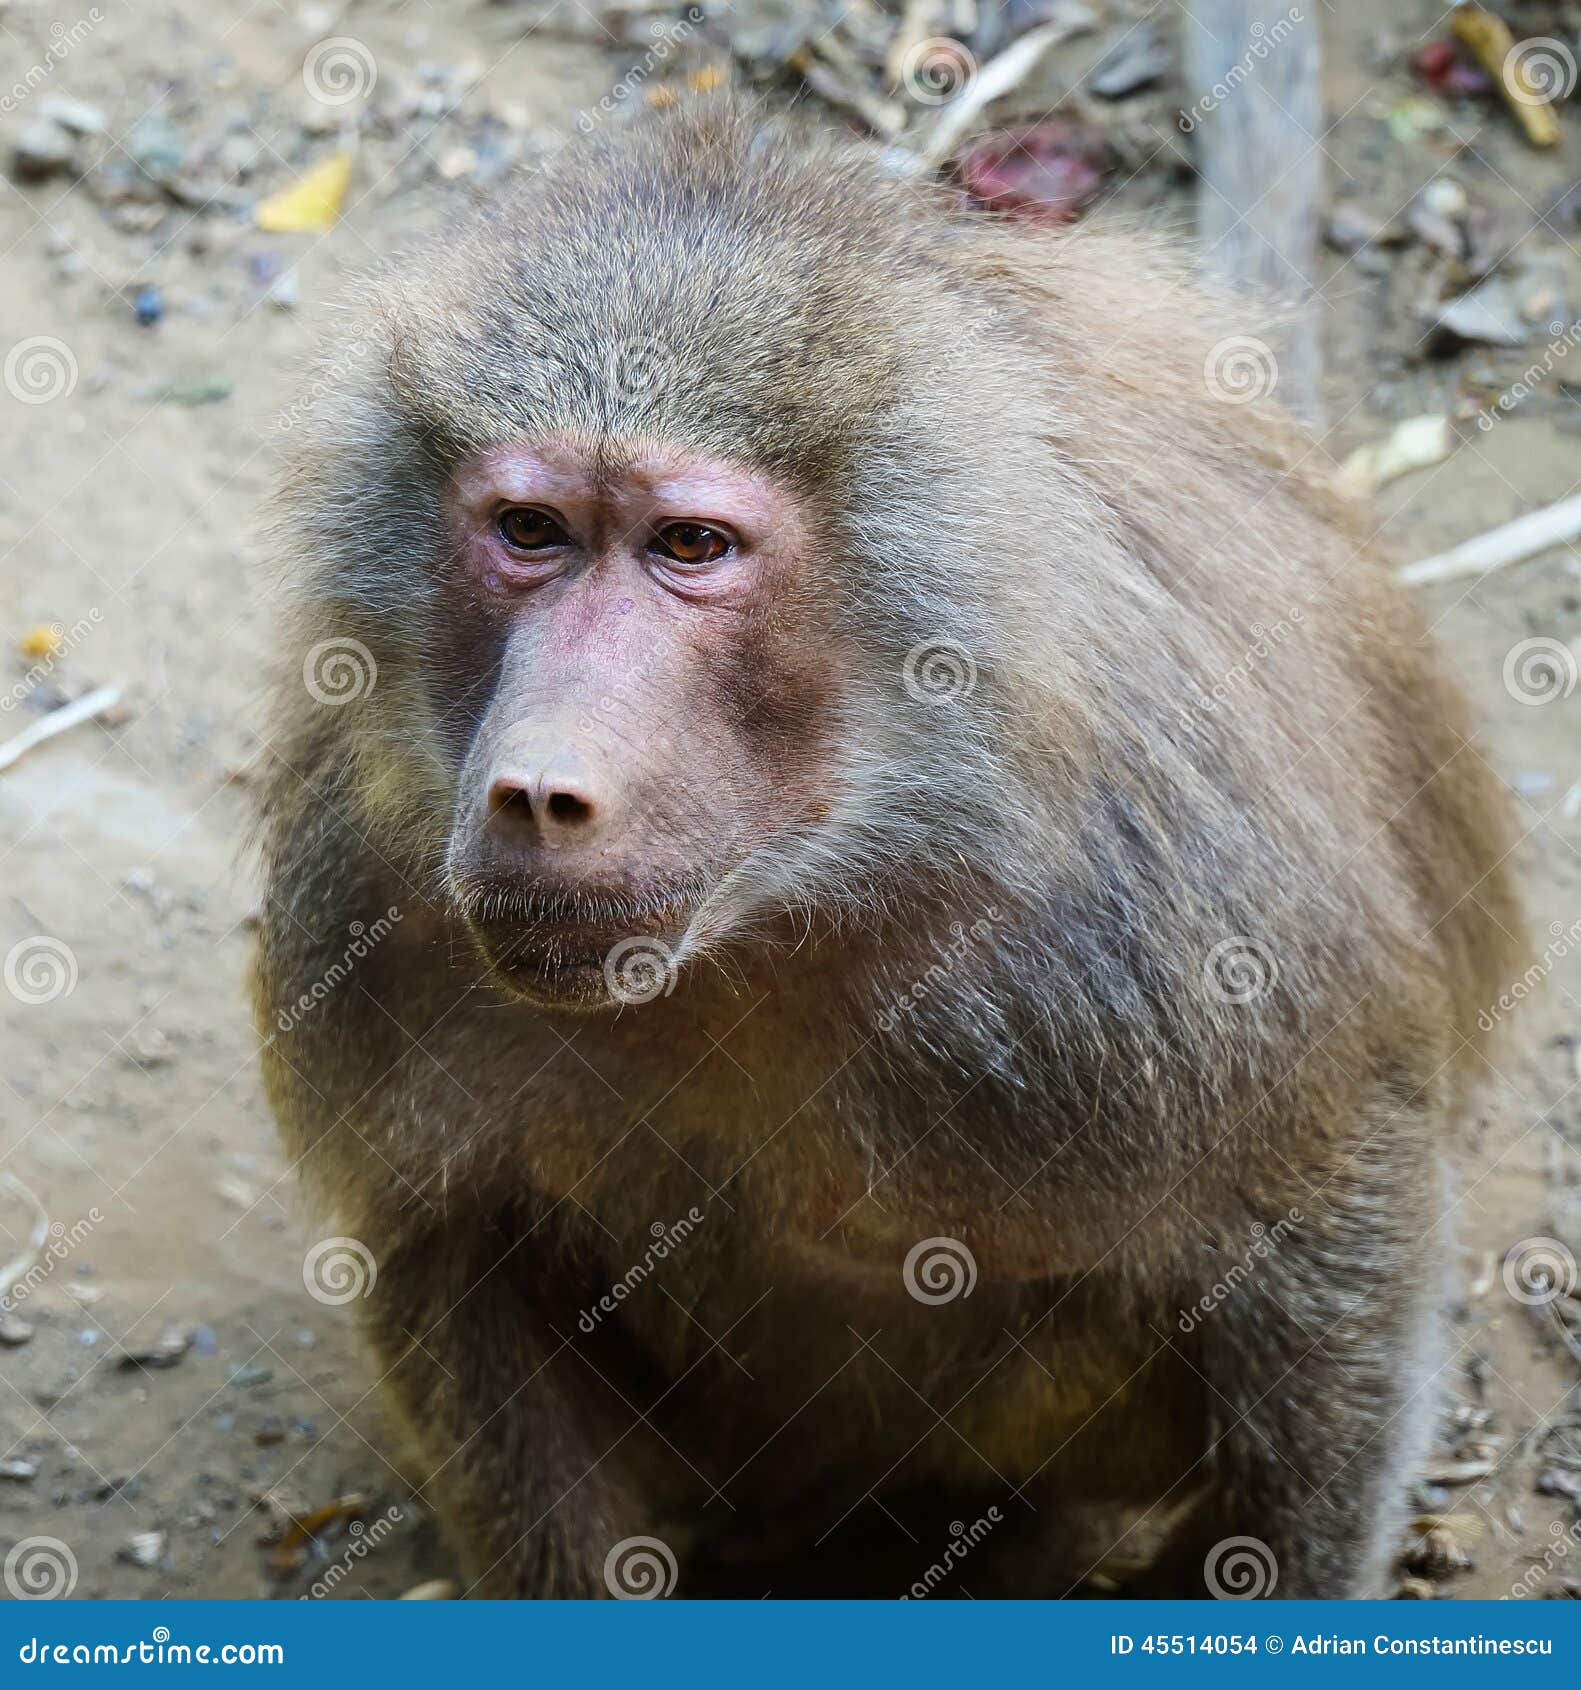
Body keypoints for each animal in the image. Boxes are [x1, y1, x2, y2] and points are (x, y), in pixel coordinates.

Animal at [252, 100, 1523, 1600]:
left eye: (692, 544)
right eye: (529, 530)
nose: (539, 790)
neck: (792, 898)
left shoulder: (1162, 939)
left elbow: (1332, 1222)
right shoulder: (369, 892)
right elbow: (453, 1255)